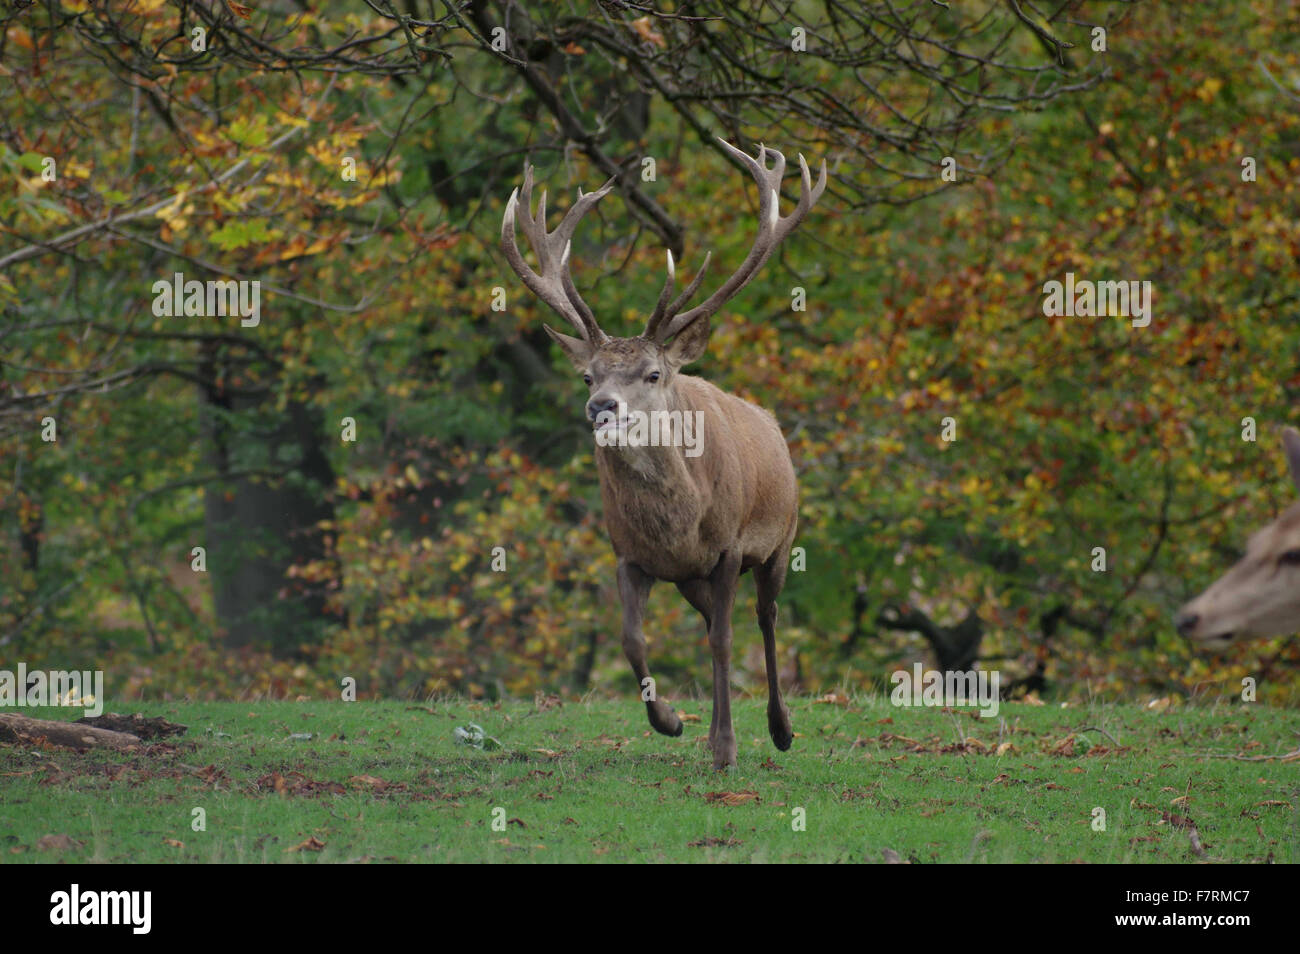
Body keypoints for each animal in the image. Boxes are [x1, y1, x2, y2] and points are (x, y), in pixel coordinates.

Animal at [500, 140, 826, 769]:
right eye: (587, 375)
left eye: (652, 373)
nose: (601, 406)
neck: (680, 523)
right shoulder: (630, 554)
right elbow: (632, 638)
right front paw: (670, 722)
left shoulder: (728, 546)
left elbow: (726, 641)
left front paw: (725, 747)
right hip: (691, 579)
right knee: (713, 622)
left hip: (781, 538)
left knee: (765, 619)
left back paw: (780, 728)